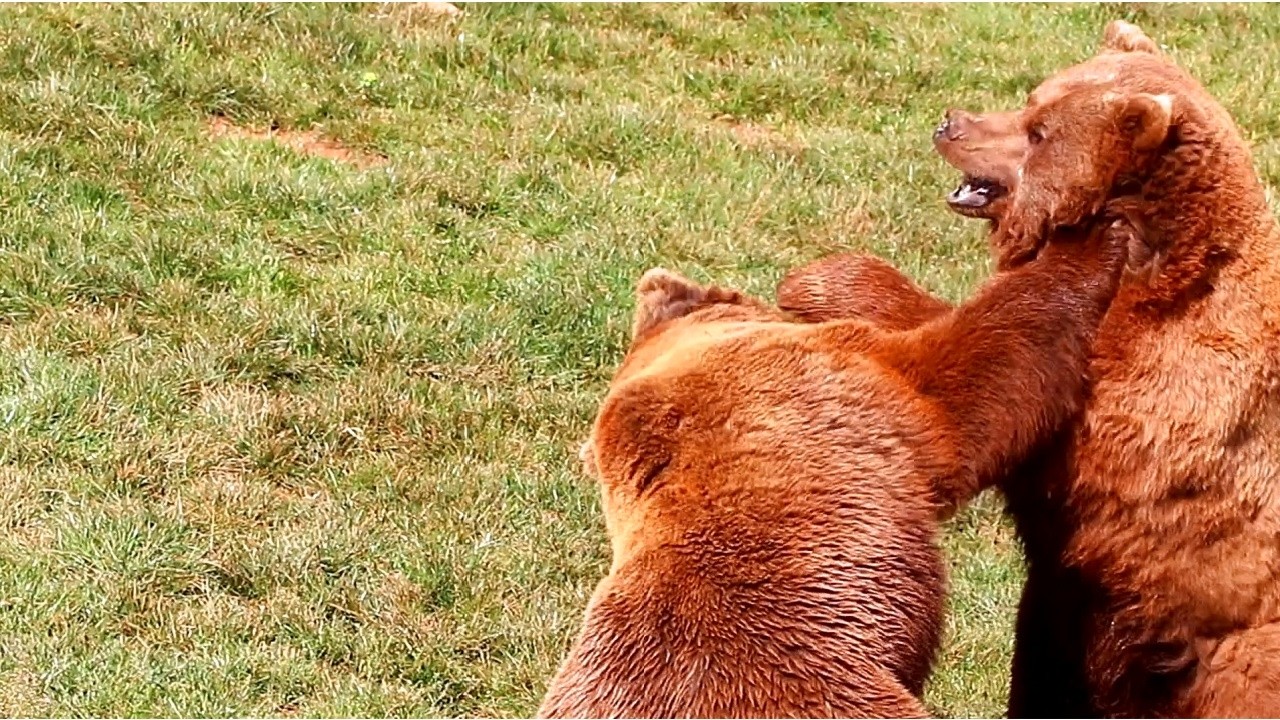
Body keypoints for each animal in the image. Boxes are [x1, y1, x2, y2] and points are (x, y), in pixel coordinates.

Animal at [777, 20, 1280, 718]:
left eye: (1039, 132)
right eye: (1031, 98)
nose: (950, 122)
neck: (1153, 266)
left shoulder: (1171, 397)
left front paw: (823, 283)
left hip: (1230, 645)